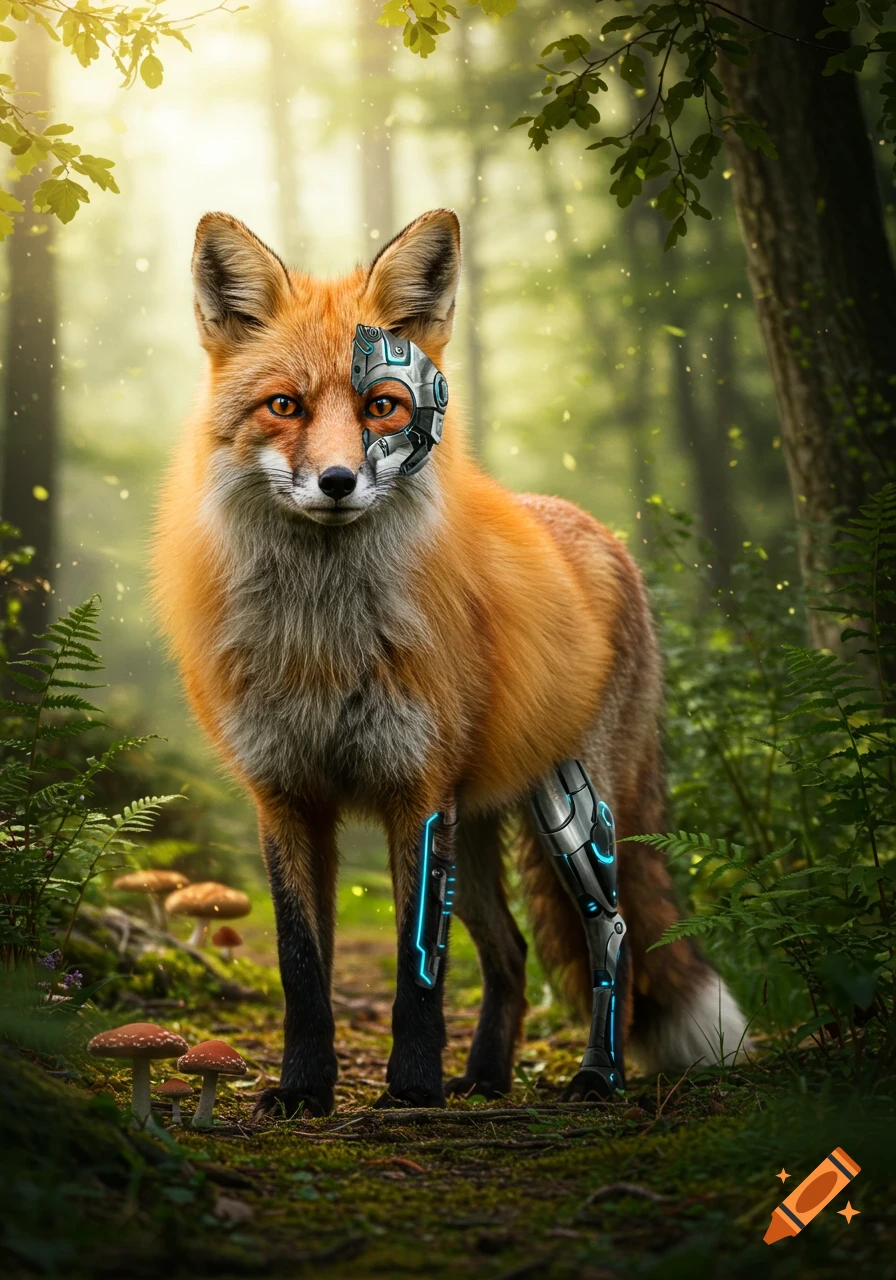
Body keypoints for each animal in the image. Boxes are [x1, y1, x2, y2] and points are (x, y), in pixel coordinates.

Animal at [153, 207, 748, 1116]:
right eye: (284, 405)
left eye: (382, 406)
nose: (337, 481)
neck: (326, 643)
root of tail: (603, 533)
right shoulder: (286, 795)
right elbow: (302, 968)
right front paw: (303, 1089)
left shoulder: (416, 792)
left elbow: (415, 971)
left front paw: (411, 1088)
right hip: (478, 836)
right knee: (511, 953)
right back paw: (486, 1078)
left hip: (573, 814)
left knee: (609, 934)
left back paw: (595, 1075)